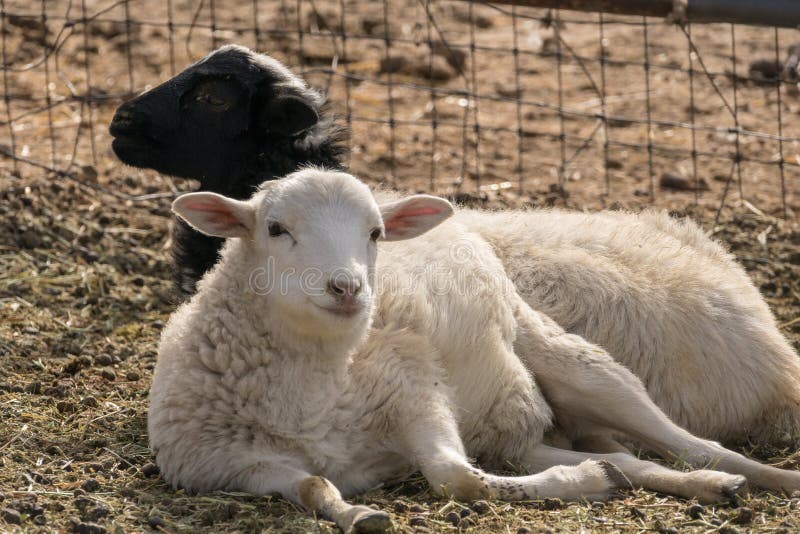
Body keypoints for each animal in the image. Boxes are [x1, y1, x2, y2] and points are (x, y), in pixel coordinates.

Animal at [150, 168, 800, 533]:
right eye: (275, 228)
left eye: (375, 234)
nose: (348, 288)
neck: (314, 391)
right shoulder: (228, 463)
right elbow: (314, 487)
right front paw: (357, 515)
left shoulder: (416, 389)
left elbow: (457, 479)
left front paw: (580, 483)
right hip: (512, 428)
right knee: (632, 461)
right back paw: (680, 483)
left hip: (571, 361)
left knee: (693, 444)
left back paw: (762, 477)